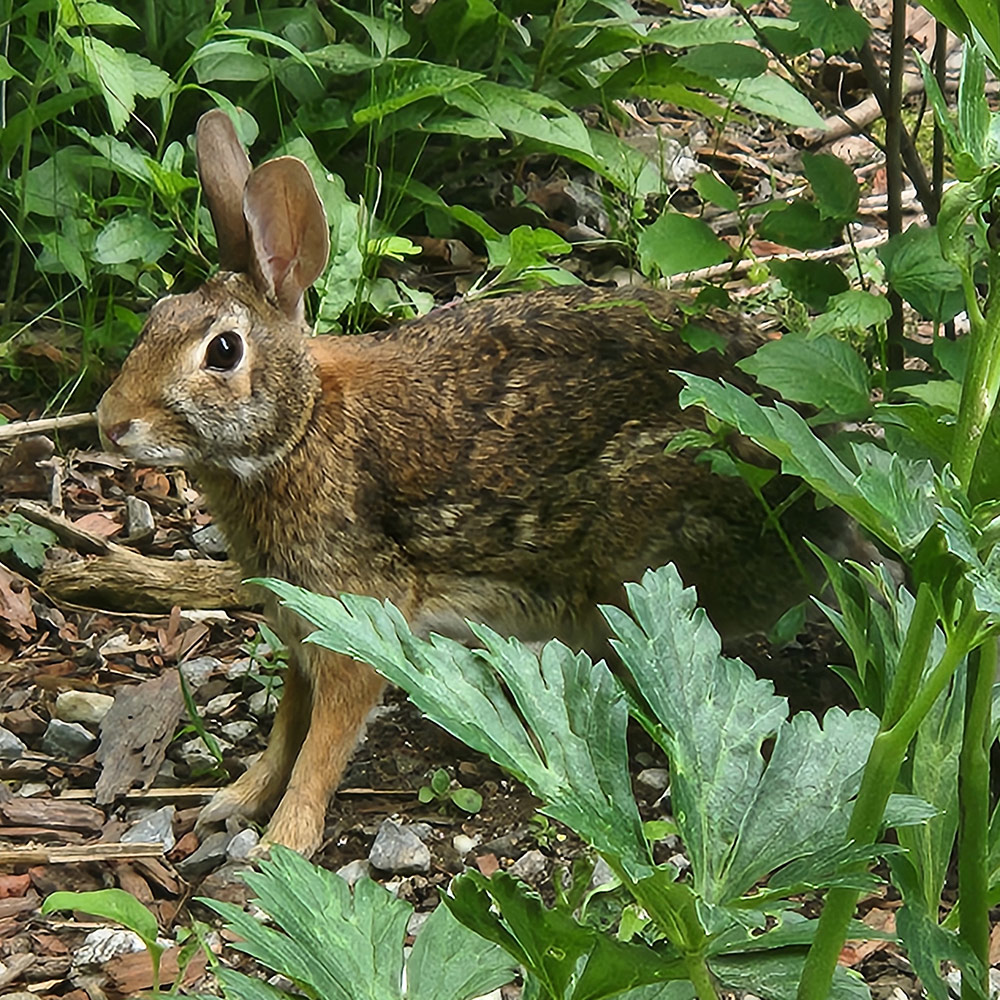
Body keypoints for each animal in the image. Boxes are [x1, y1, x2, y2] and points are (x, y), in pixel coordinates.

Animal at [97, 109, 845, 857]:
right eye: (156, 316)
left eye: (223, 352)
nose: (111, 423)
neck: (301, 425)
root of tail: (825, 524)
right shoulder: (299, 628)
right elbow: (288, 724)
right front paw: (234, 801)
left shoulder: (355, 621)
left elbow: (322, 744)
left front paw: (284, 843)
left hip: (641, 550)